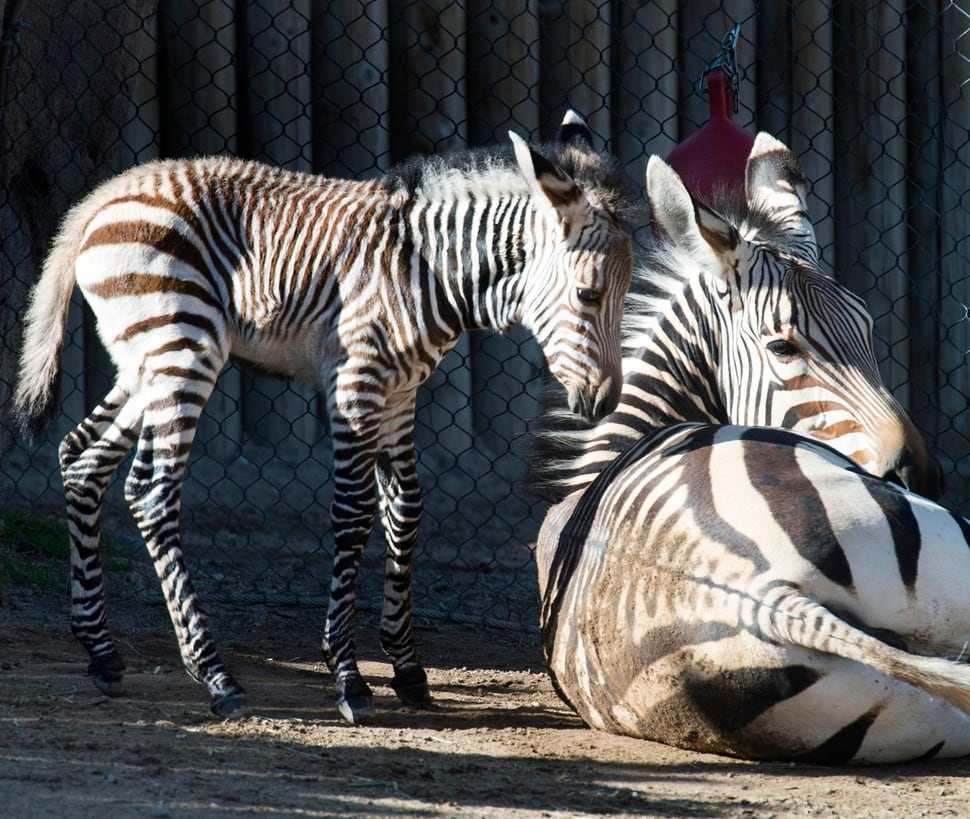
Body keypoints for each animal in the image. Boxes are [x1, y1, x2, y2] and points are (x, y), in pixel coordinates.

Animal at [13, 112, 637, 724]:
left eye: (627, 290)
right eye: (589, 294)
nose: (605, 403)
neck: (431, 270)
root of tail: (104, 196)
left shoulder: (401, 394)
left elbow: (406, 510)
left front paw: (407, 669)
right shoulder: (355, 384)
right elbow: (354, 514)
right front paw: (348, 676)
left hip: (144, 361)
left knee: (82, 457)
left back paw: (100, 651)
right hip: (182, 347)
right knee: (151, 491)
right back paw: (215, 675)